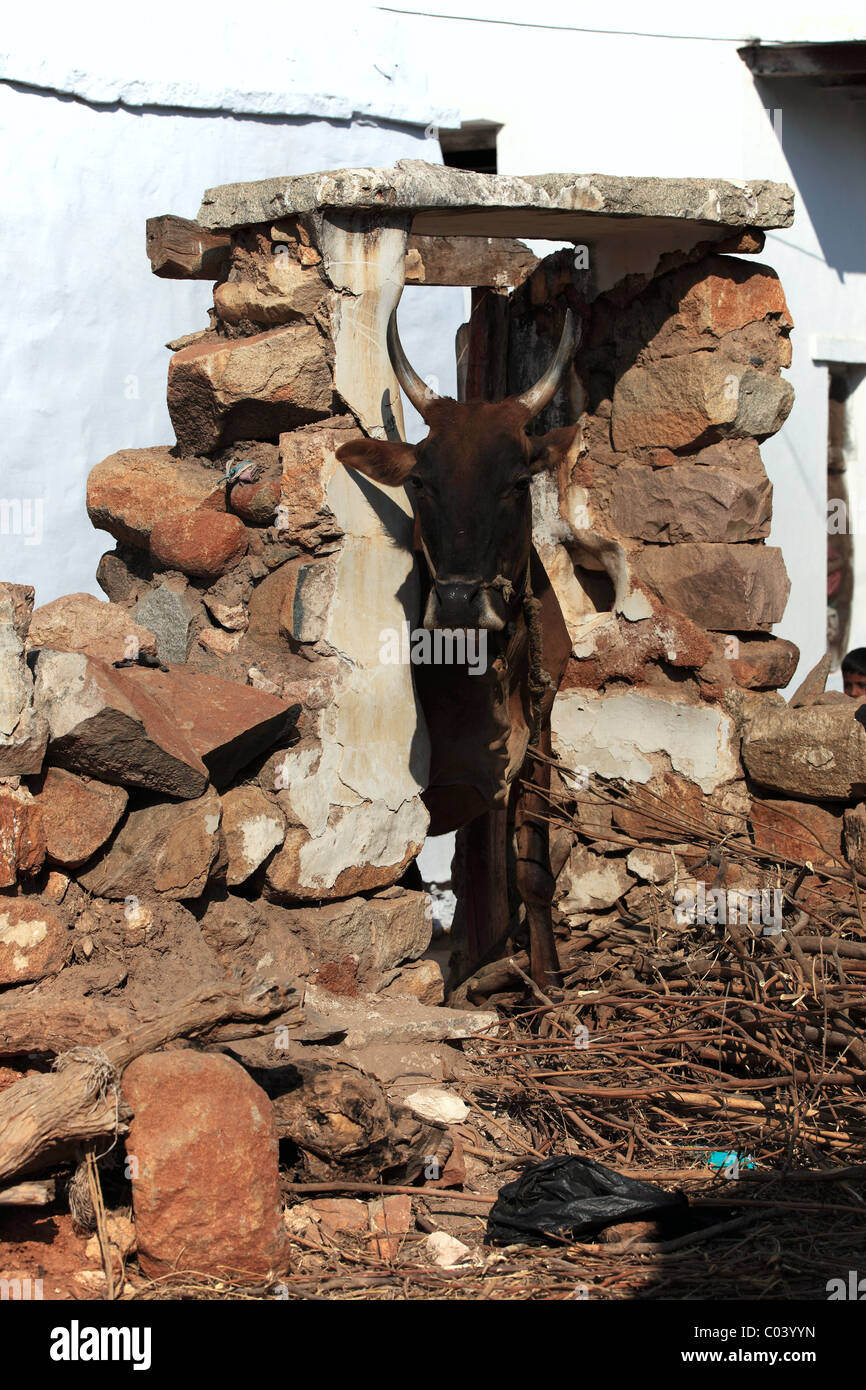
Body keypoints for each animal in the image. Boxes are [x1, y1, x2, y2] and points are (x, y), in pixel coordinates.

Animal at [336, 308, 580, 990]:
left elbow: (534, 869)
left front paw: (550, 985)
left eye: (519, 481)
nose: (457, 602)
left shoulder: (539, 732)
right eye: (420, 481)